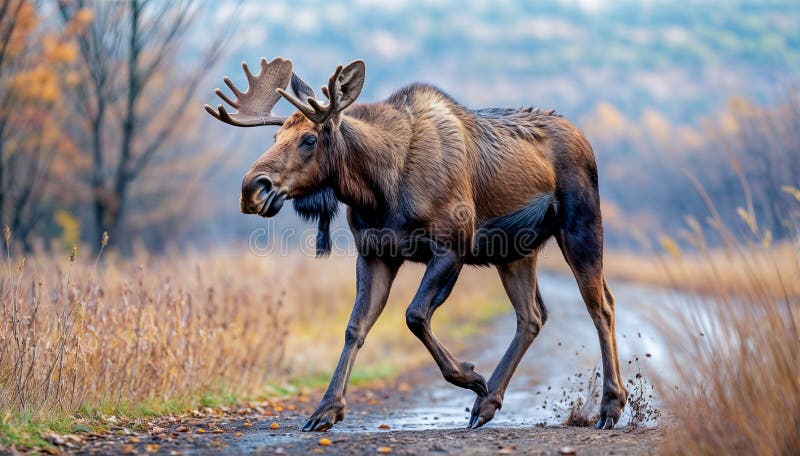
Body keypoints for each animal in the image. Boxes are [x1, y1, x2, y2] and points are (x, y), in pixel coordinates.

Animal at [205, 57, 628, 432]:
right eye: (275, 136)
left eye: (310, 139)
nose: (252, 189)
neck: (377, 190)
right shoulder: (375, 253)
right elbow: (355, 326)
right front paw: (326, 410)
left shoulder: (450, 247)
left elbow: (414, 315)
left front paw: (470, 376)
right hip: (515, 251)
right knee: (532, 315)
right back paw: (487, 404)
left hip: (582, 226)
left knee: (601, 305)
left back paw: (610, 405)